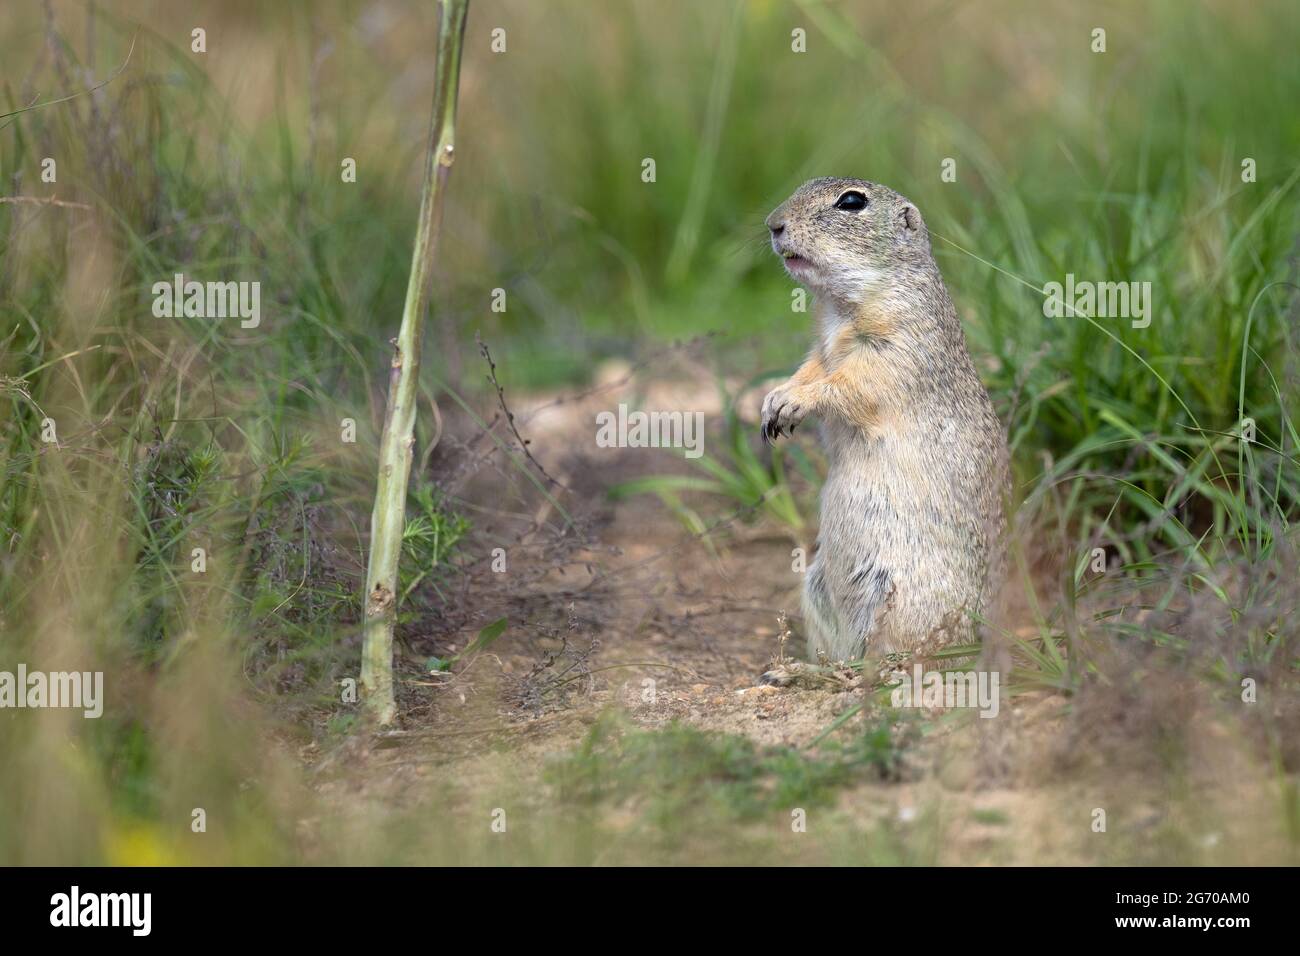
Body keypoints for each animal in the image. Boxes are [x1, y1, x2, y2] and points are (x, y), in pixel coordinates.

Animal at [760, 177, 1009, 662]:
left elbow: (851, 385)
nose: (773, 224)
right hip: (817, 589)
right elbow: (810, 369)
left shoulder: (896, 347)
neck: (838, 309)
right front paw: (774, 399)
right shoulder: (820, 349)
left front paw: (795, 400)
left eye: (851, 201)